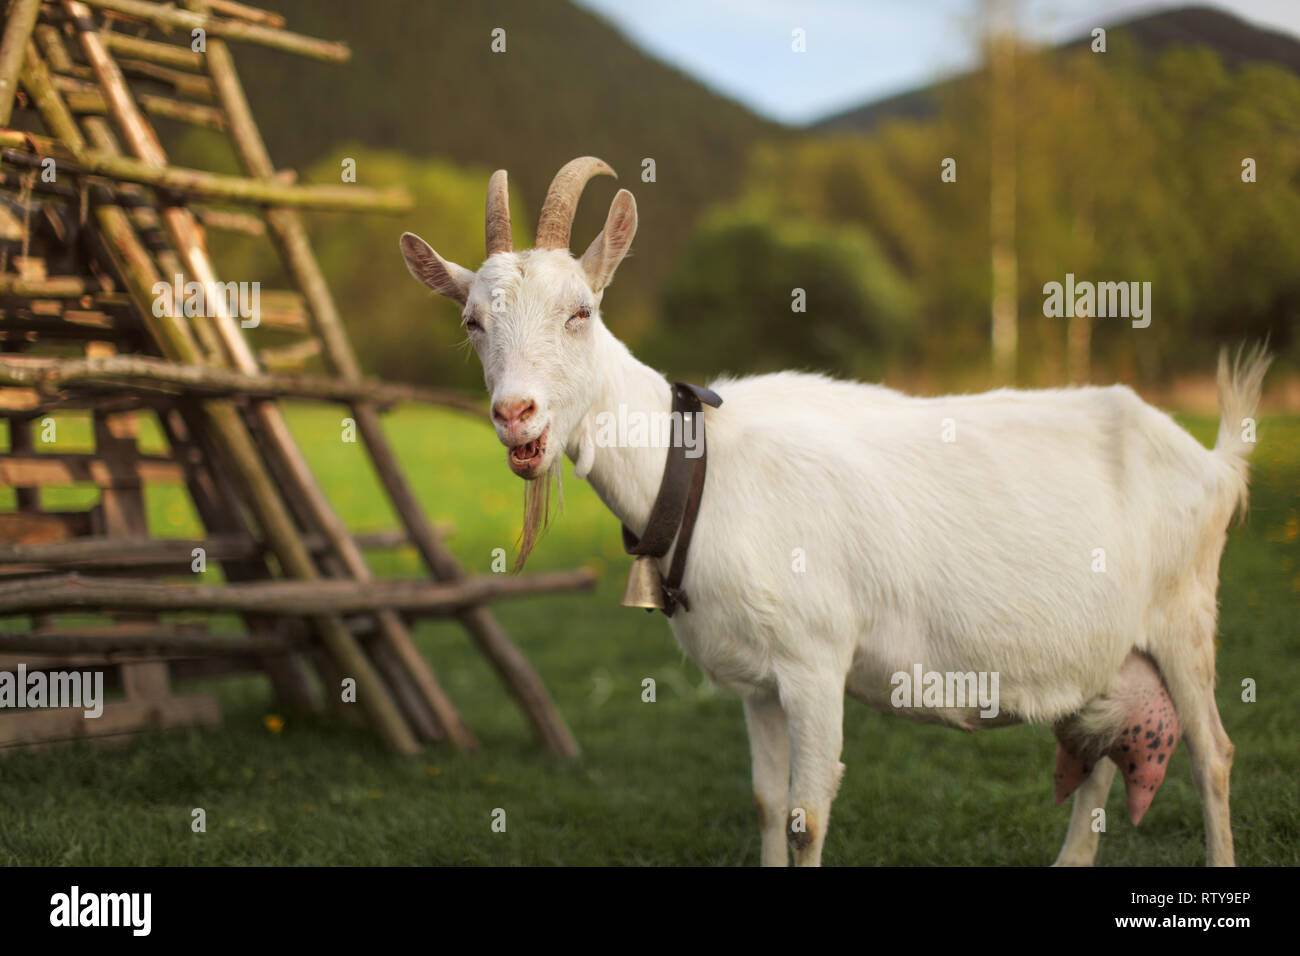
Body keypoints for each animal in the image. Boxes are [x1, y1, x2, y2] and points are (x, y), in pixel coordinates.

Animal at [400, 156, 1269, 866]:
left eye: (581, 311)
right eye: (472, 321)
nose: (516, 416)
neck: (703, 468)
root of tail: (1213, 461)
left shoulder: (815, 661)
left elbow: (805, 817)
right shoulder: (755, 683)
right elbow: (763, 804)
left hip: (1185, 617)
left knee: (1214, 755)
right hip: (1108, 657)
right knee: (1098, 761)